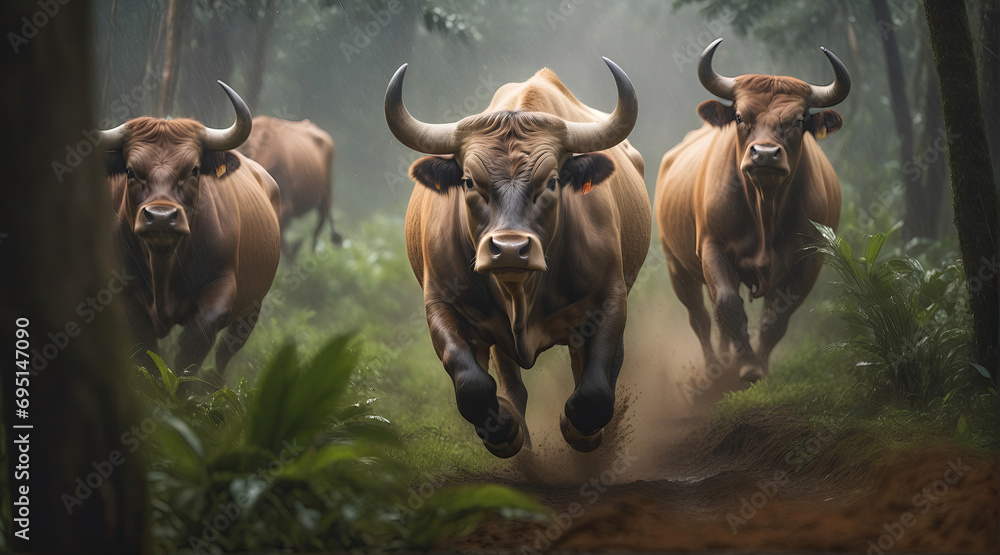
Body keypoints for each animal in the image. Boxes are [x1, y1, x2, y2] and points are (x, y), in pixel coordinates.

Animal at [97, 81, 281, 385]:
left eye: (193, 170)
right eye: (130, 171)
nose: (161, 217)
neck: (163, 264)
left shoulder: (220, 290)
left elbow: (190, 352)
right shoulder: (126, 300)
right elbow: (146, 359)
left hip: (252, 307)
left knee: (226, 352)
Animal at [384, 59, 651, 457]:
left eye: (552, 181)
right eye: (468, 181)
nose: (509, 249)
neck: (521, 294)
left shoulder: (611, 297)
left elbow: (594, 391)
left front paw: (578, 429)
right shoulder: (441, 304)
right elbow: (472, 383)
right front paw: (504, 429)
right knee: (511, 381)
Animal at [654, 38, 849, 383]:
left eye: (798, 120)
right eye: (741, 117)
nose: (766, 154)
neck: (764, 209)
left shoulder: (808, 260)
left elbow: (776, 318)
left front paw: (758, 365)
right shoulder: (712, 247)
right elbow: (728, 306)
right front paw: (745, 366)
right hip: (676, 265)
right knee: (701, 318)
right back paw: (713, 368)